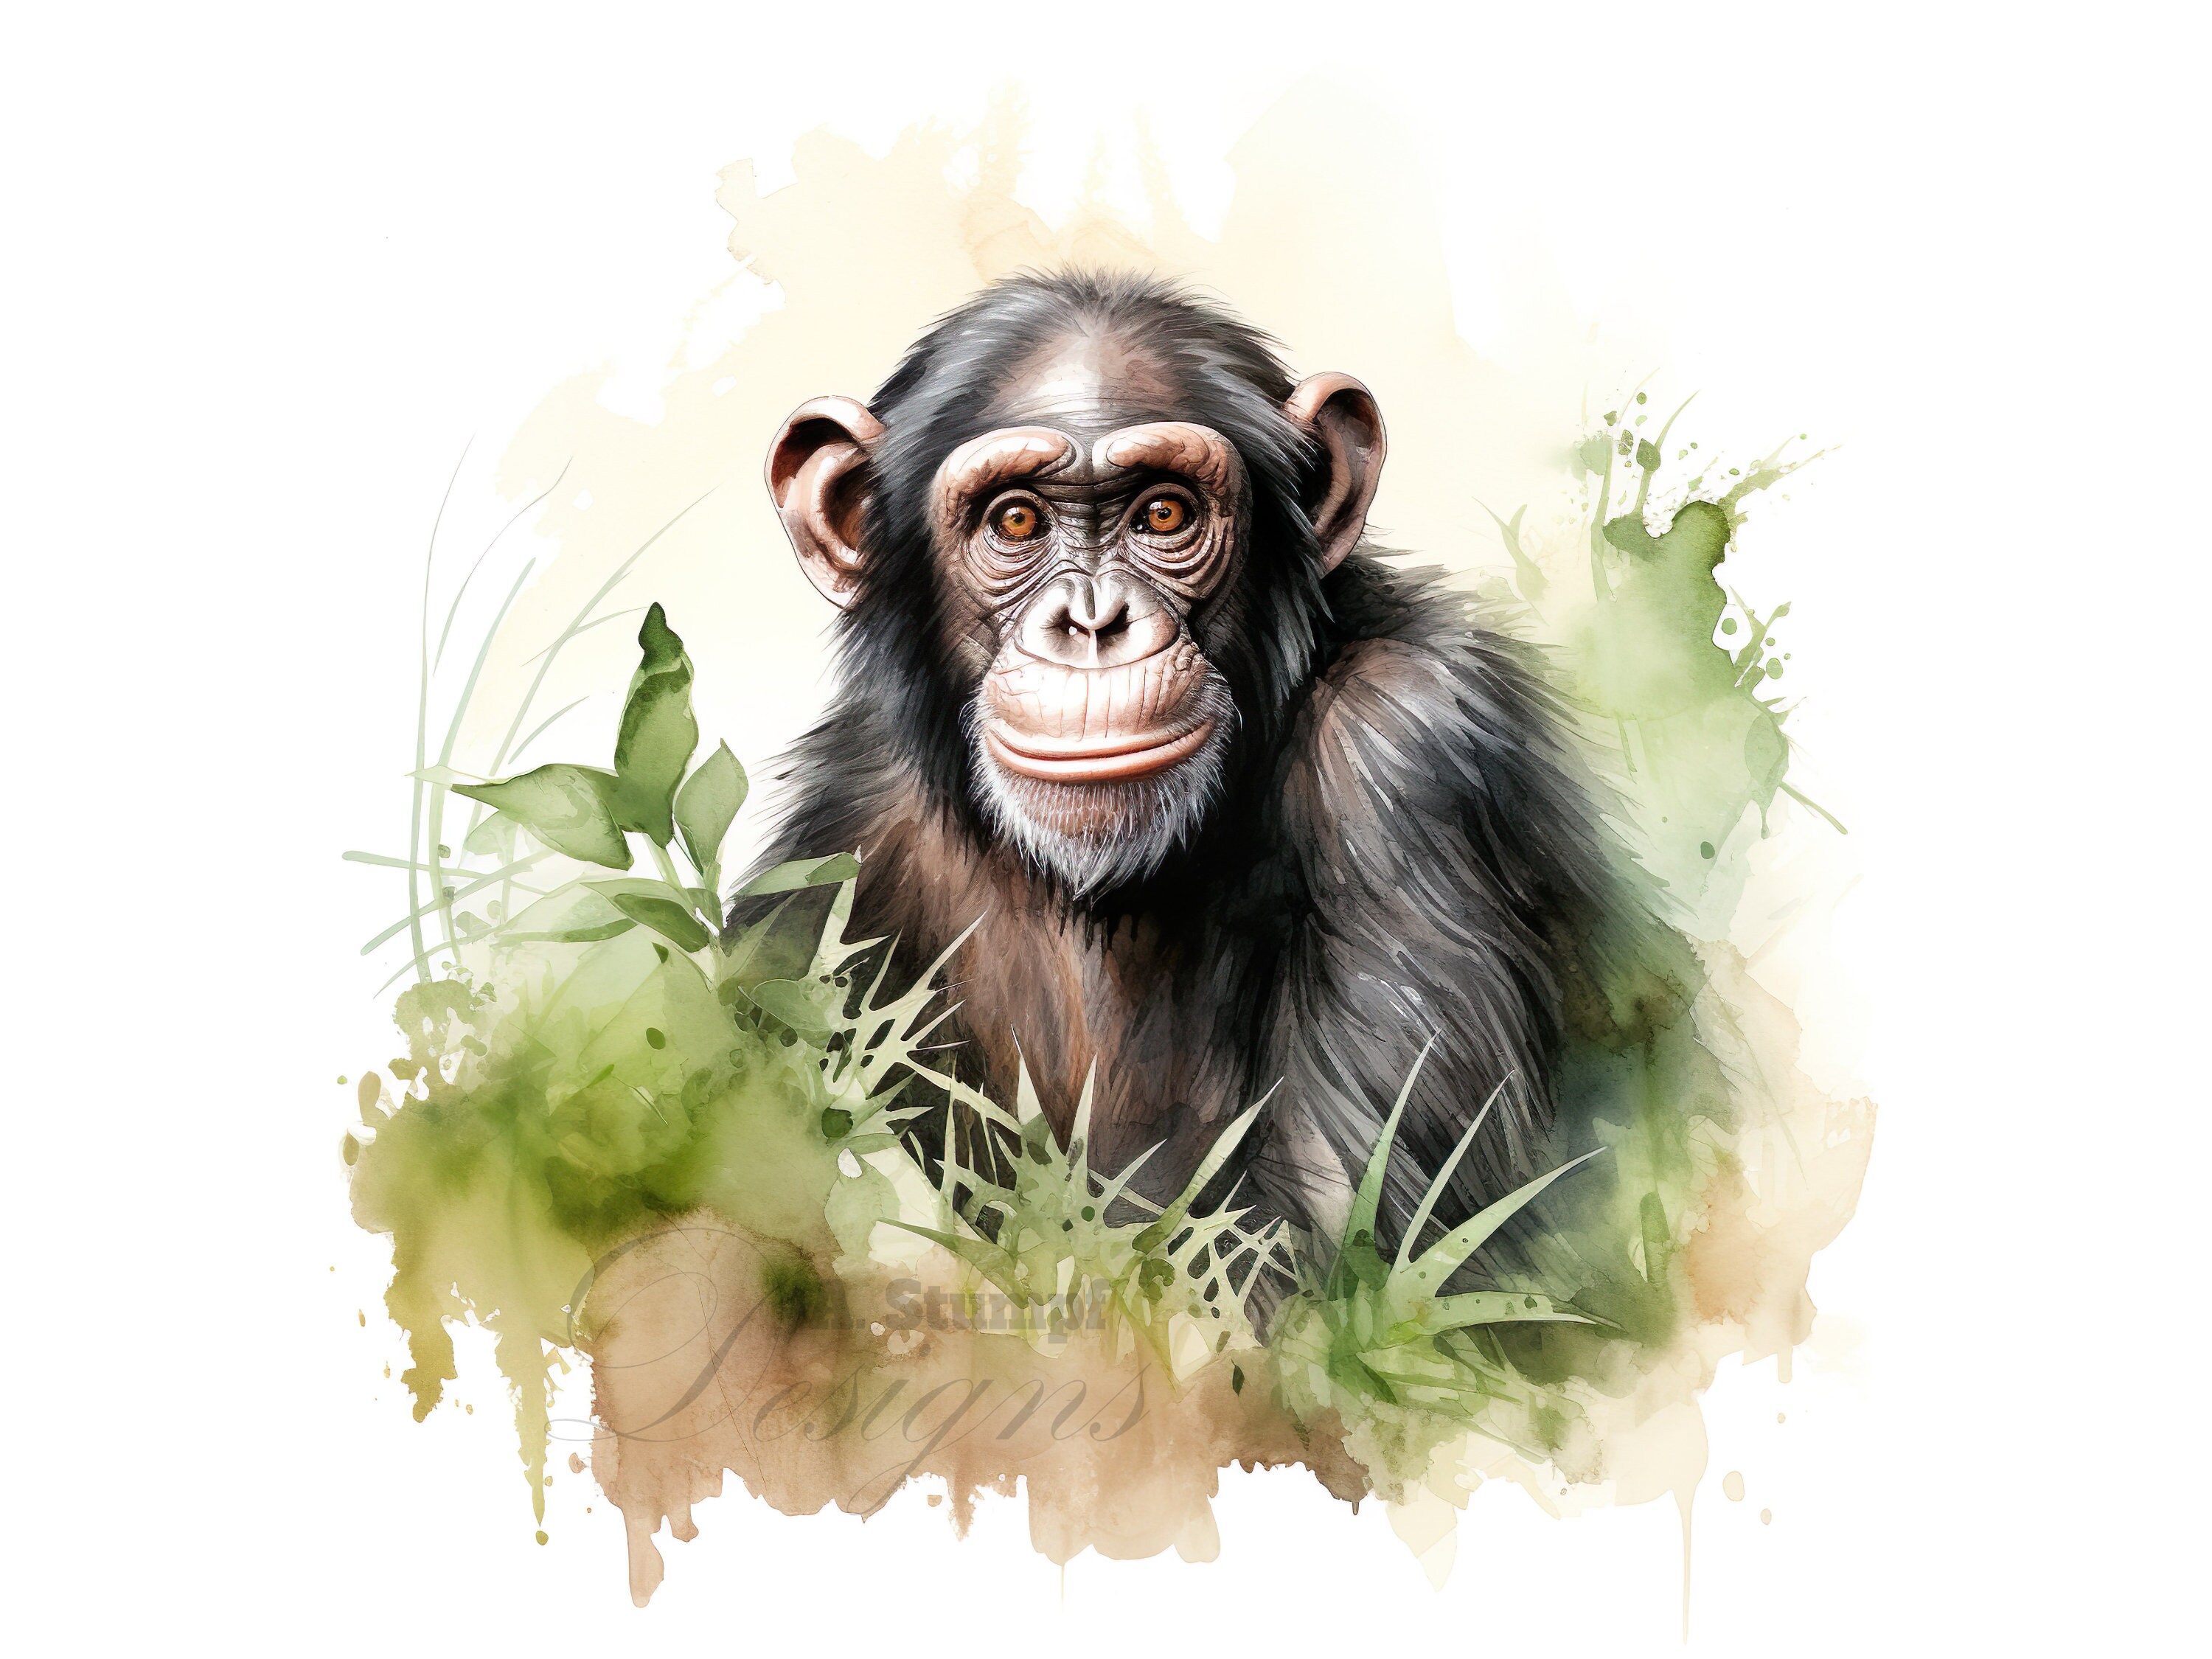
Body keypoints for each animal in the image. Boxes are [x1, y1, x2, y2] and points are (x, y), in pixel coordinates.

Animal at [747, 270, 1685, 1280]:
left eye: (1163, 513)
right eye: (1016, 520)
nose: (1093, 622)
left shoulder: (1409, 751)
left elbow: (1352, 1256)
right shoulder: (827, 854)